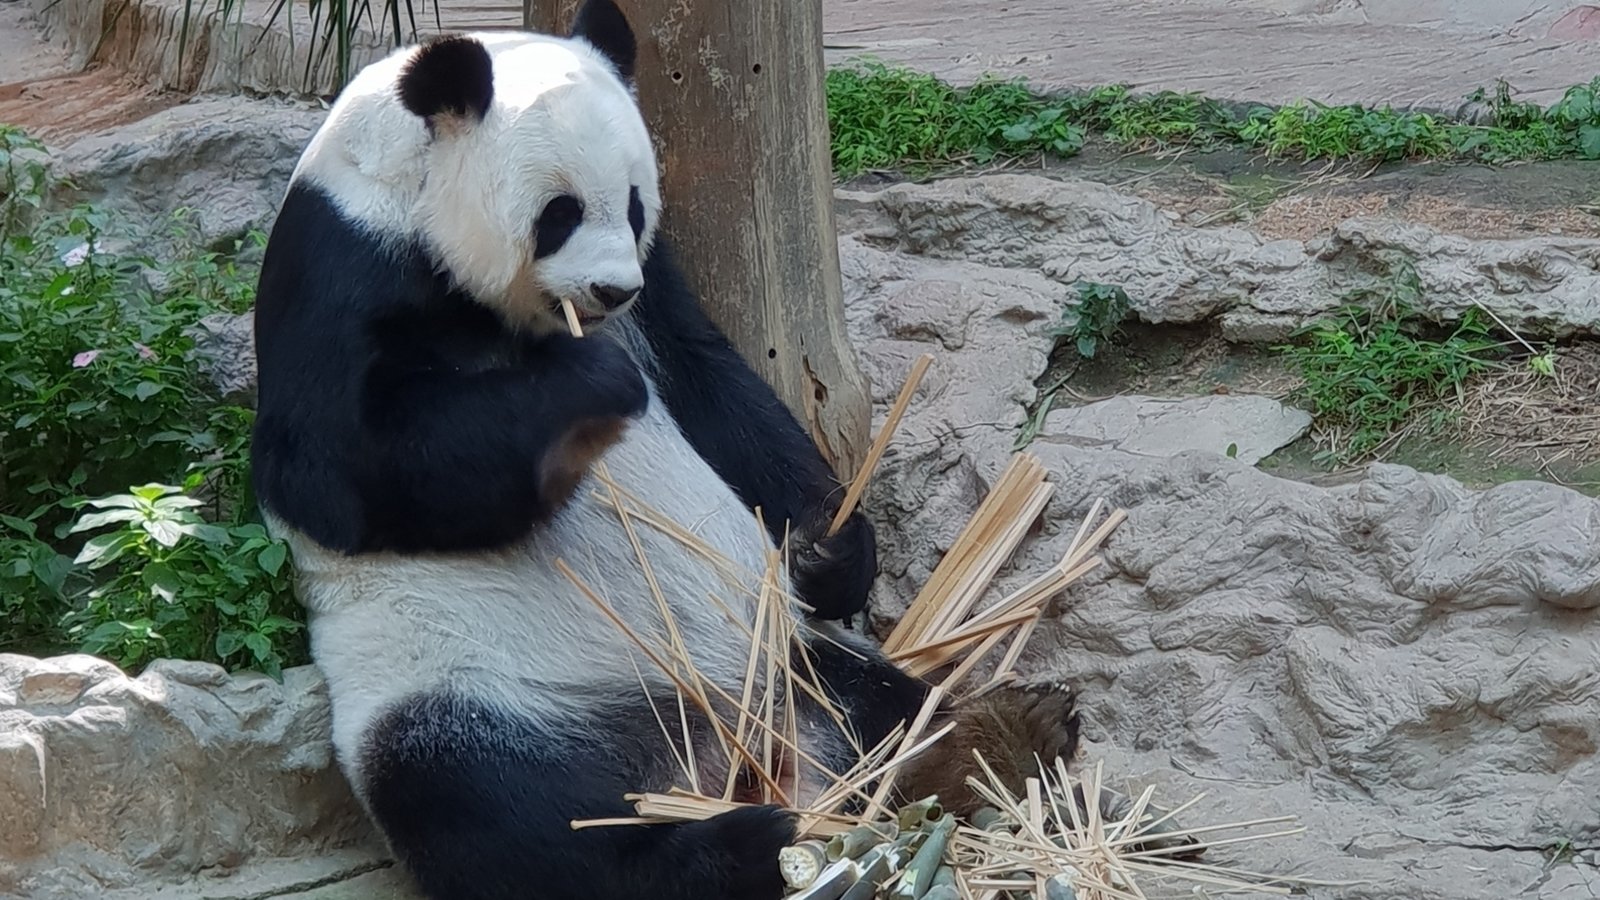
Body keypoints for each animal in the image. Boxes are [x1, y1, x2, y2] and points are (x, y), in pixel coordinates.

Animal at [248, 3, 1084, 899]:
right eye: (558, 212)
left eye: (635, 204)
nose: (611, 290)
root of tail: (713, 761)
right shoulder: (341, 266)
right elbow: (337, 467)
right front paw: (589, 383)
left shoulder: (659, 298)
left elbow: (715, 385)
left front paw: (831, 552)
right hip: (460, 680)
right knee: (497, 809)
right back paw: (731, 849)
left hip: (778, 655)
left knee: (880, 708)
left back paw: (995, 739)